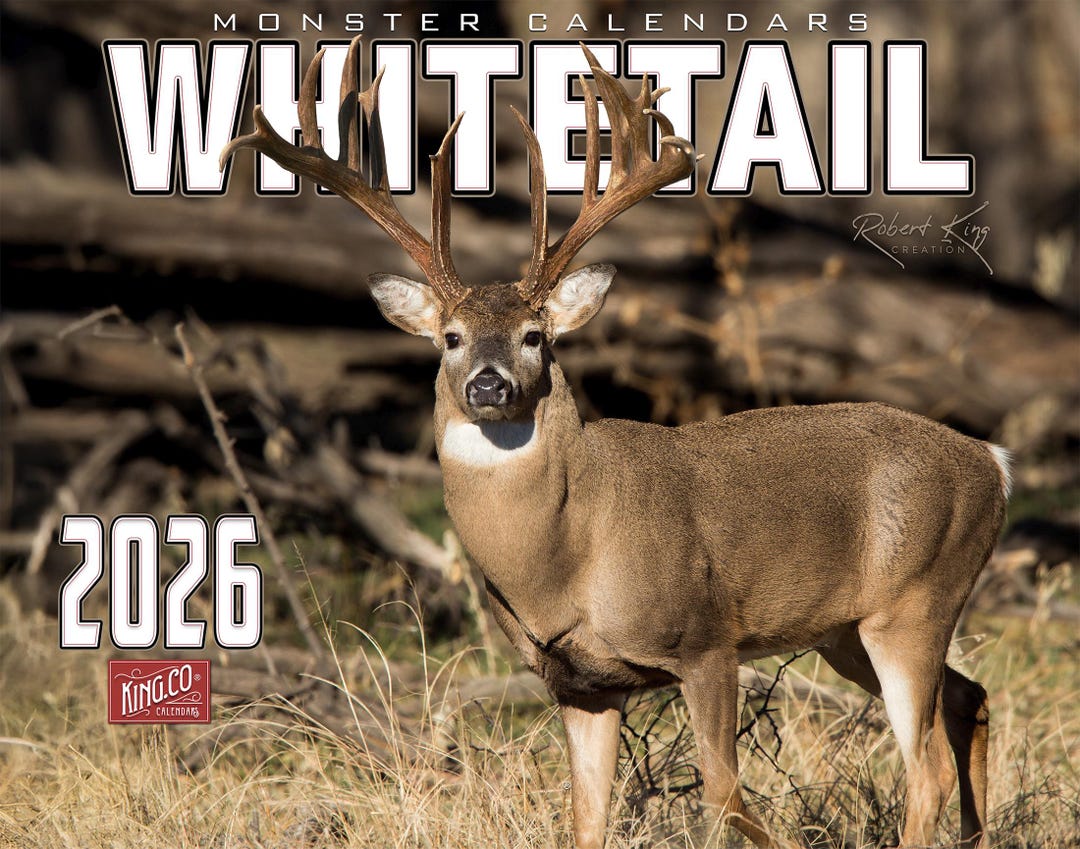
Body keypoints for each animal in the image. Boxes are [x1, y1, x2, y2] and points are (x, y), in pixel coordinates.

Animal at [221, 37, 1007, 849]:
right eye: (452, 337)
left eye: (536, 335)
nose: (489, 386)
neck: (565, 556)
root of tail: (994, 463)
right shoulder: (579, 682)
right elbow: (587, 815)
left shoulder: (705, 637)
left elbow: (724, 793)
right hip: (845, 629)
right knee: (970, 697)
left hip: (915, 599)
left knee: (925, 766)